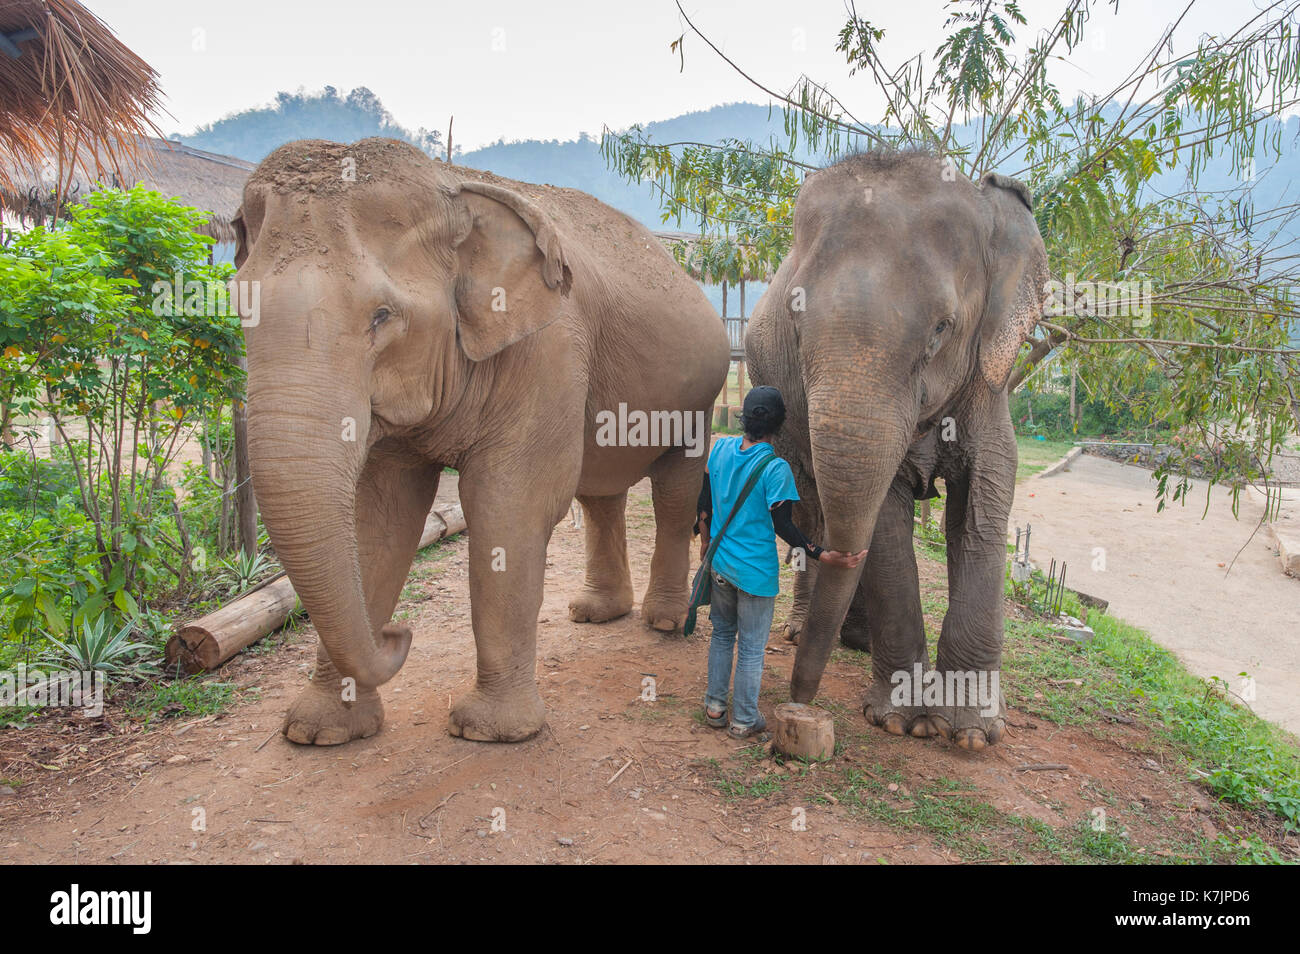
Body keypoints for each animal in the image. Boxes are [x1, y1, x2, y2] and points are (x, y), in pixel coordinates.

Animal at [232, 138, 728, 745]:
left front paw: (489, 732)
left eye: (382, 316)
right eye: (237, 308)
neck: (451, 188)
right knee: (599, 492)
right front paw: (319, 731)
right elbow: (381, 517)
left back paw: (663, 623)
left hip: (700, 396)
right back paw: (595, 613)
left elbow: (508, 502)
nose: (400, 634)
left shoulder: (548, 347)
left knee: (675, 494)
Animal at [746, 150, 1049, 751]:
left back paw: (855, 641)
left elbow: (982, 506)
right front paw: (904, 722)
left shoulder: (989, 380)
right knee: (813, 510)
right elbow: (884, 521)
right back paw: (810, 628)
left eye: (941, 329)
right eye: (795, 325)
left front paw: (972, 734)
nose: (797, 707)